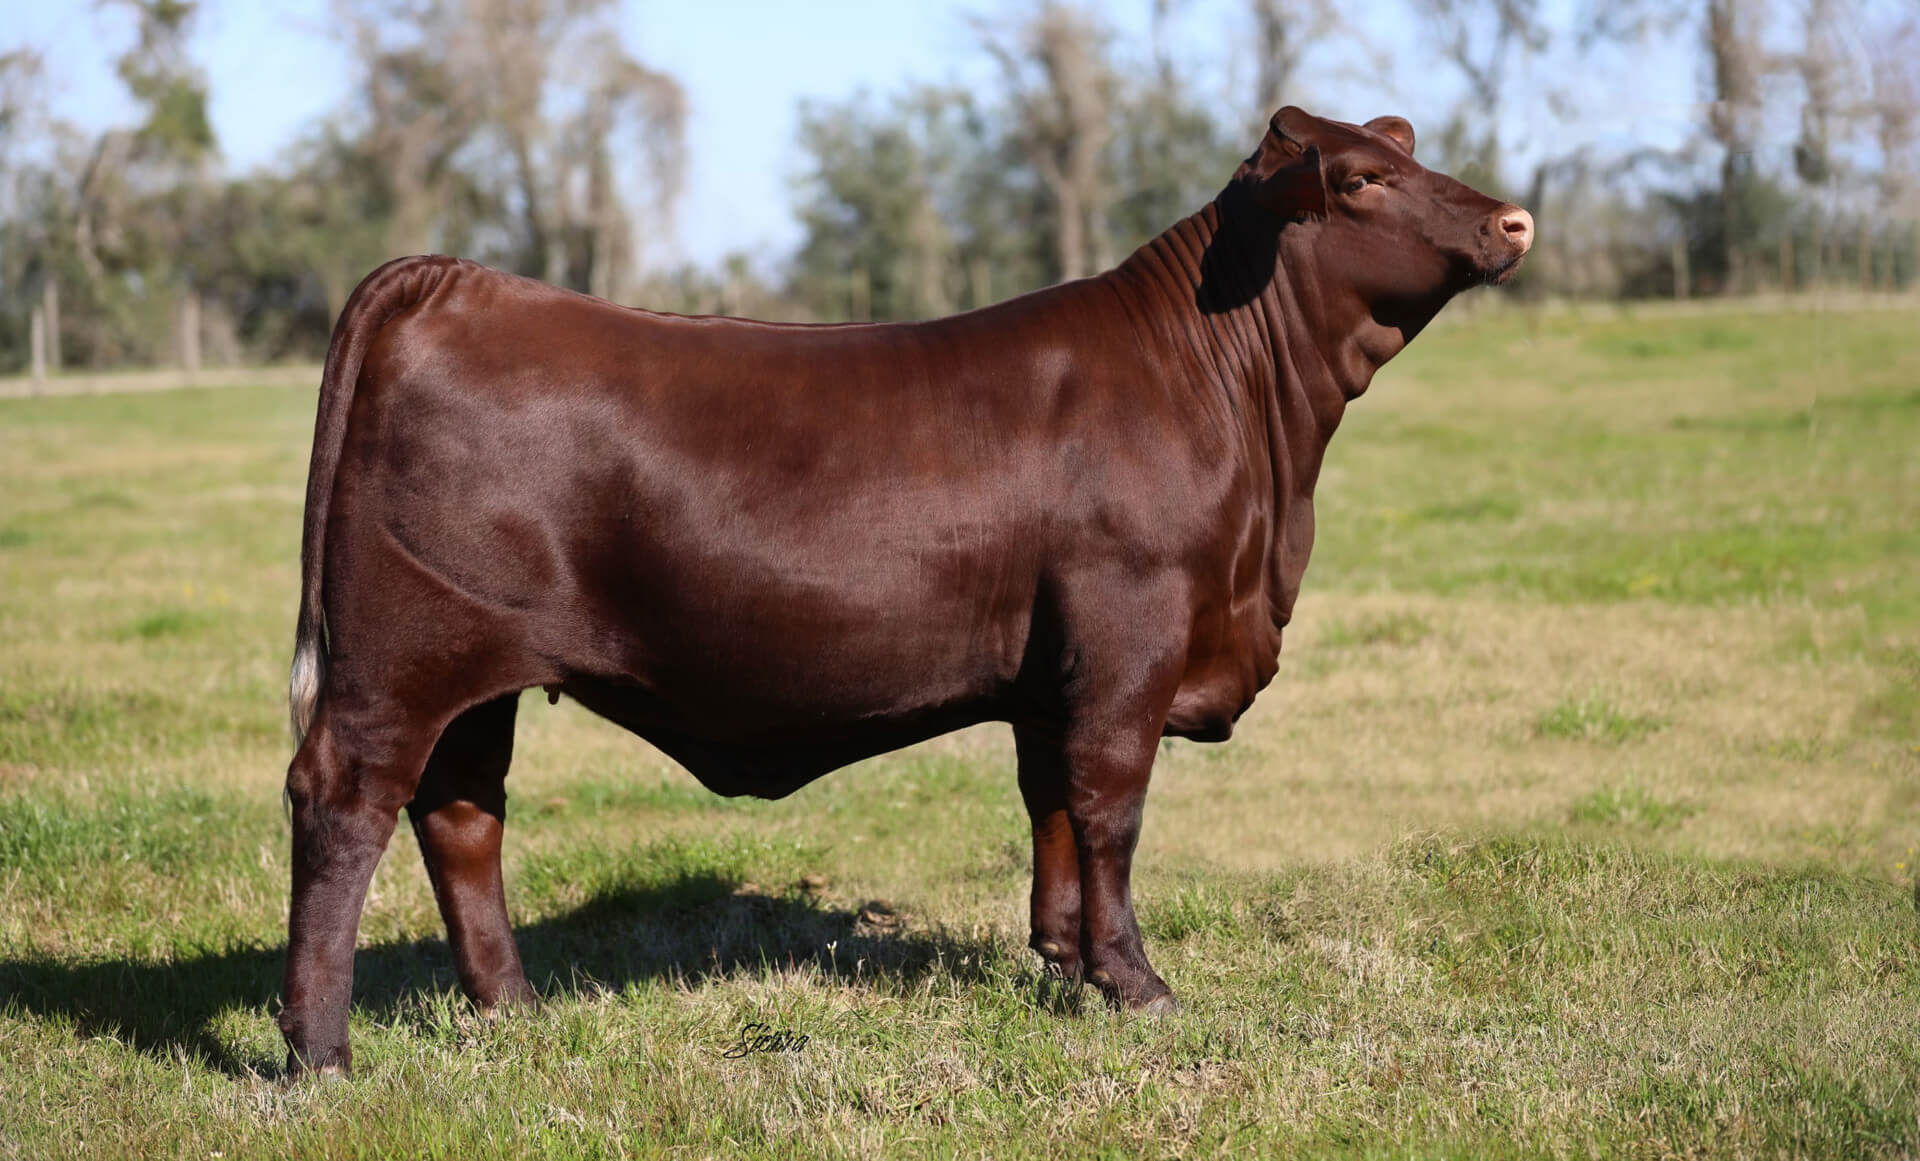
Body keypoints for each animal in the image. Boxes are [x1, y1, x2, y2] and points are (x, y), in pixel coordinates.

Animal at [276, 105, 1532, 1076]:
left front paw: (1062, 969)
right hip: (399, 657)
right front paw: (1135, 982)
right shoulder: (1131, 630)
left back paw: (515, 1010)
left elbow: (1052, 806)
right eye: (1364, 180)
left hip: (475, 673)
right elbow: (1111, 802)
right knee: (345, 805)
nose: (1512, 220)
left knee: (460, 812)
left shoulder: (1052, 672)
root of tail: (452, 280)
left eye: (1408, 153)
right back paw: (320, 1050)